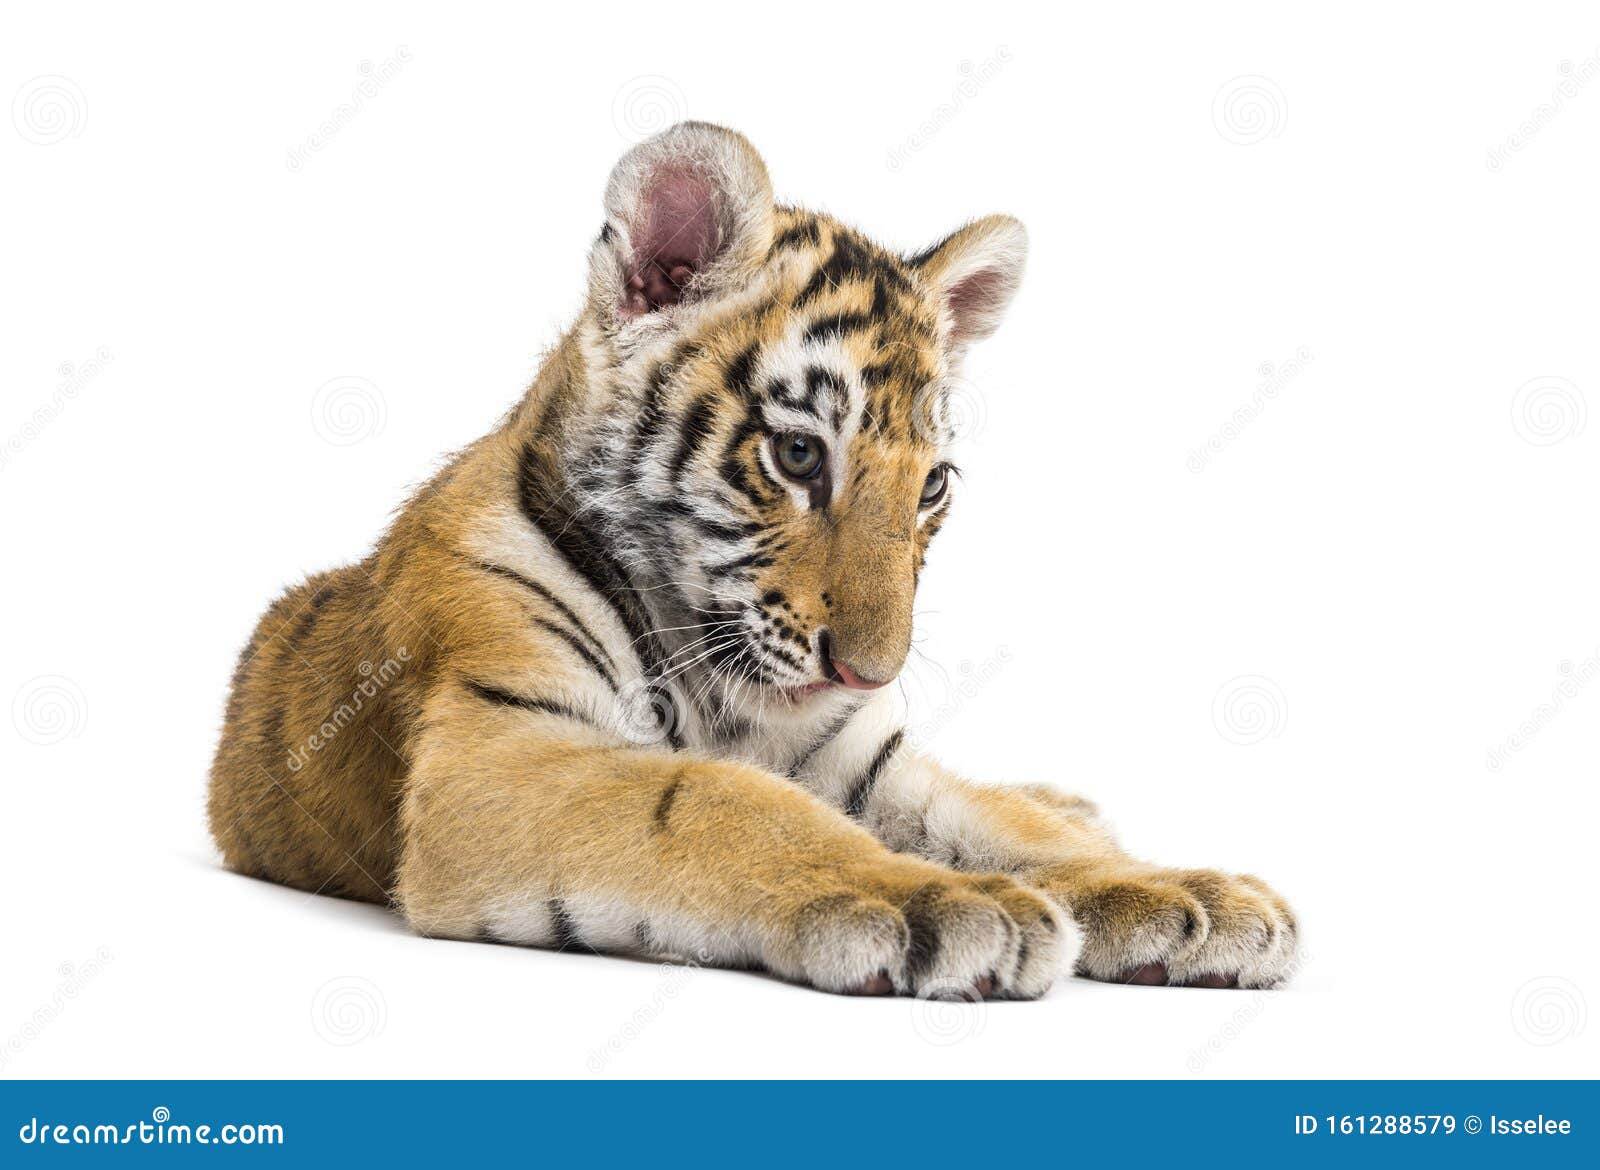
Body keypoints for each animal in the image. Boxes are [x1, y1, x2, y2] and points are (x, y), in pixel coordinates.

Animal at [207, 121, 1297, 999]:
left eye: (932, 487)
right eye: (800, 455)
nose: (870, 673)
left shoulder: (866, 761)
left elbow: (1002, 826)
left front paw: (1193, 895)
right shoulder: (498, 755)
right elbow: (716, 799)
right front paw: (941, 905)